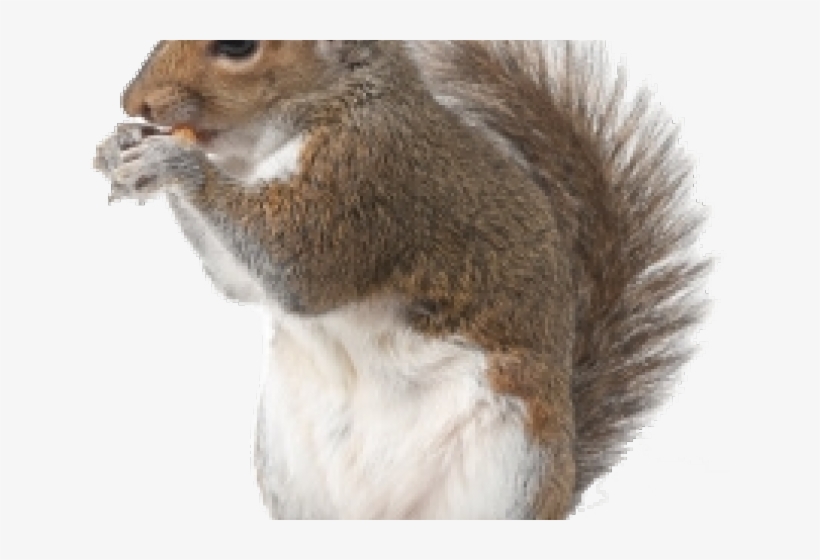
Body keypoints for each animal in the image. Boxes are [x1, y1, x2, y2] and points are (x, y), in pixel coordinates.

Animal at [93, 41, 707, 519]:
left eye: (238, 47)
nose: (133, 103)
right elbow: (240, 281)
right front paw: (120, 147)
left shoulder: (373, 173)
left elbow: (301, 267)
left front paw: (173, 162)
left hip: (511, 462)